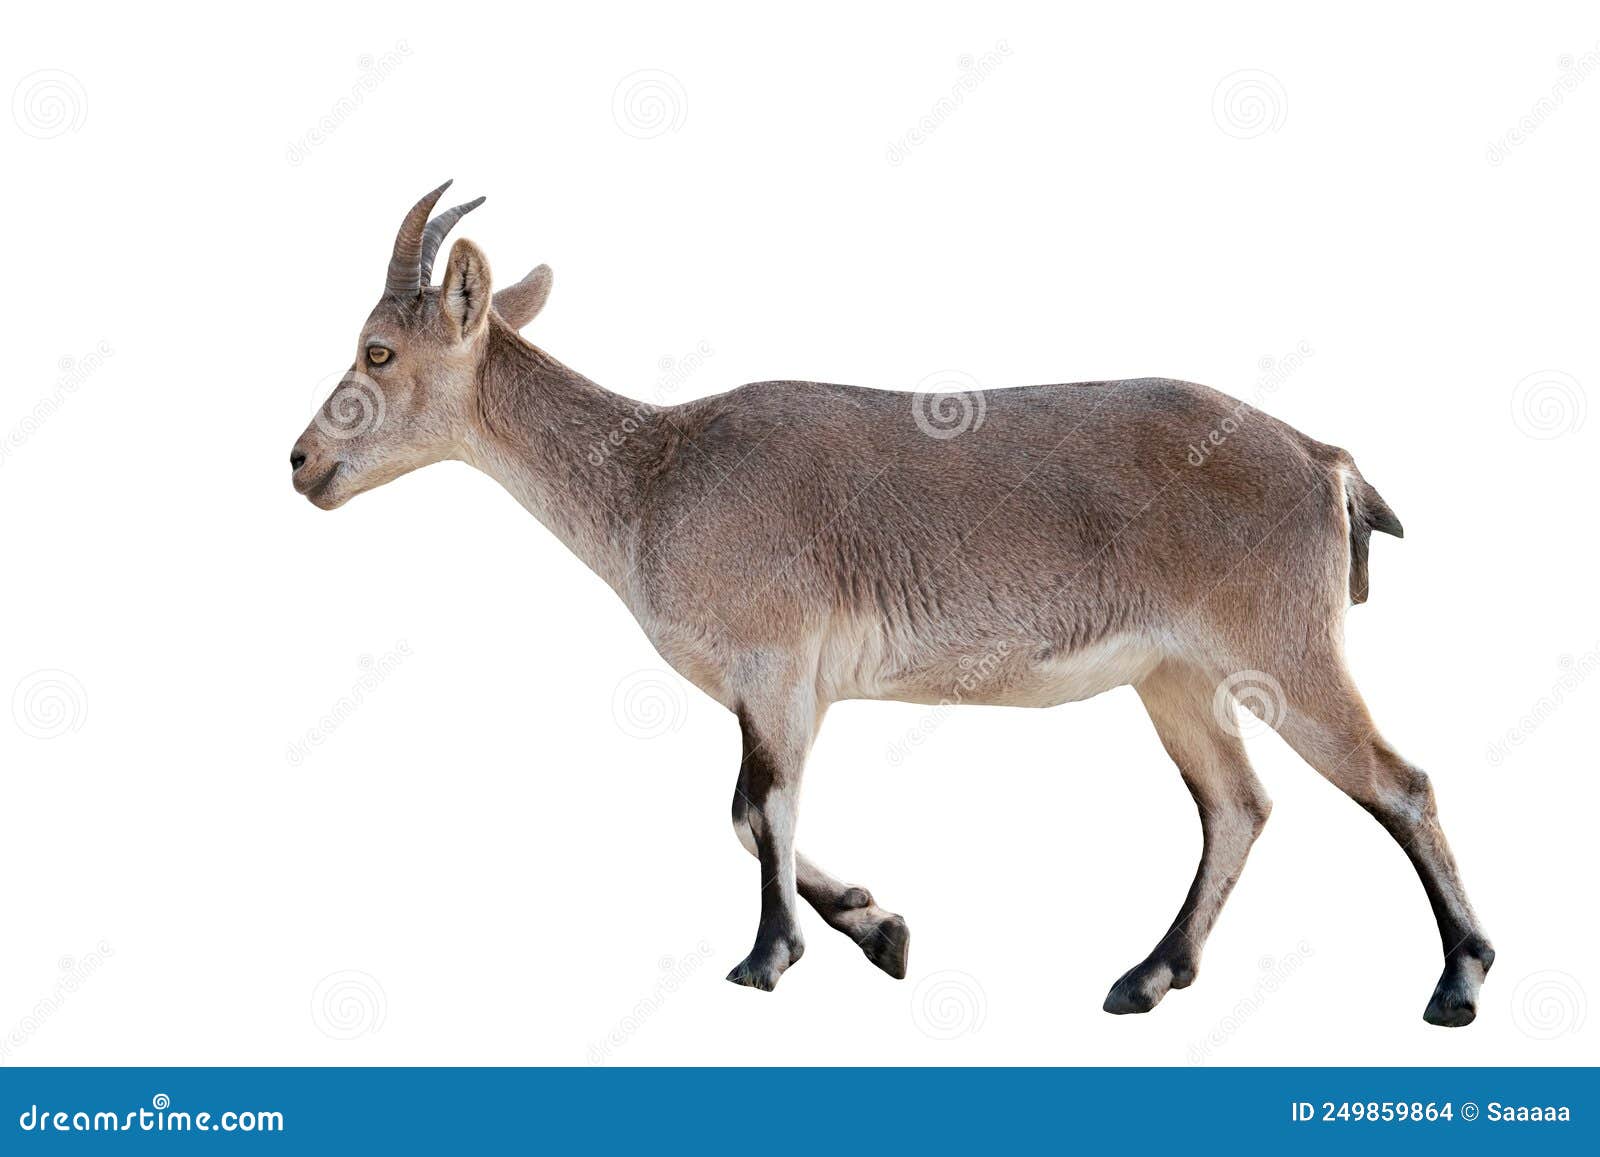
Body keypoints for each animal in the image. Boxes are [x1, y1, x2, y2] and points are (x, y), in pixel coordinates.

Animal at [289, 183, 1493, 1025]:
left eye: (377, 350)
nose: (300, 462)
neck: (654, 477)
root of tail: (1324, 461)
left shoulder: (776, 666)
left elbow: (755, 808)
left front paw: (767, 959)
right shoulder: (789, 688)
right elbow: (756, 815)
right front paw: (882, 929)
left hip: (1279, 645)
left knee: (1398, 781)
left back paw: (1458, 983)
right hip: (1176, 677)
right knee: (1238, 802)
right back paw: (1148, 977)